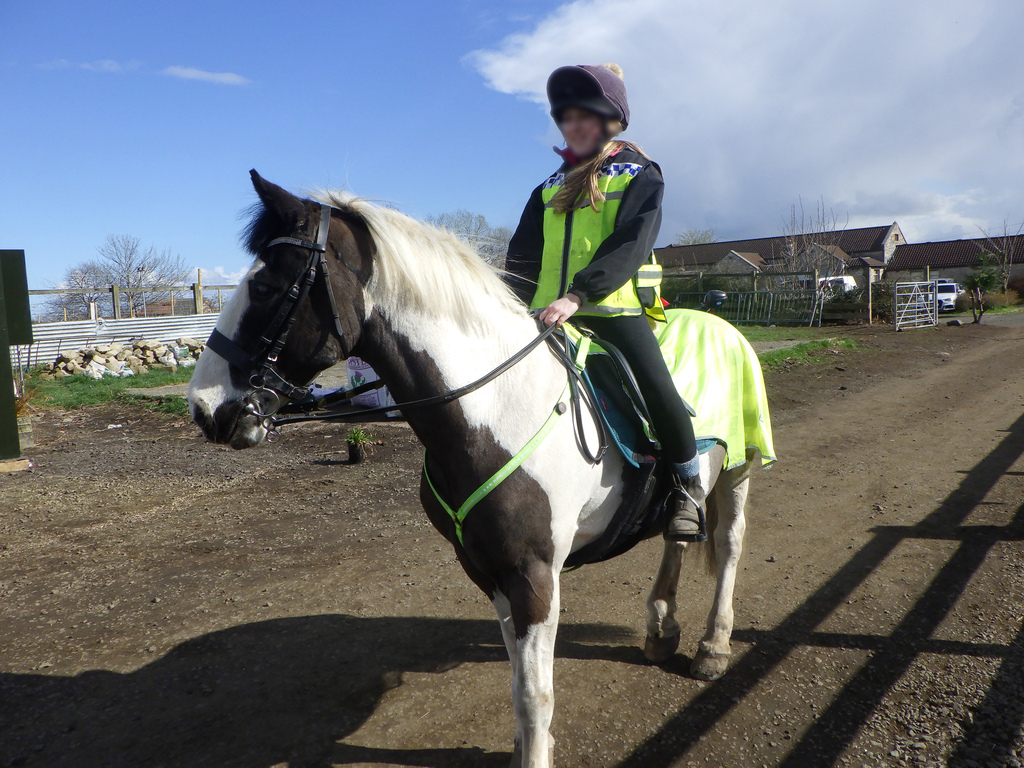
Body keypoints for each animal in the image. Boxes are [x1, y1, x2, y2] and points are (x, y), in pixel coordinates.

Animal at [188, 171, 757, 768]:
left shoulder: (534, 575)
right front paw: (523, 747)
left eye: (267, 288)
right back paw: (662, 629)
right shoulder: (487, 568)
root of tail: (721, 323)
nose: (203, 408)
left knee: (729, 545)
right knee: (679, 534)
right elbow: (517, 682)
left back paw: (713, 647)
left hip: (740, 470)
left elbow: (535, 693)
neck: (493, 410)